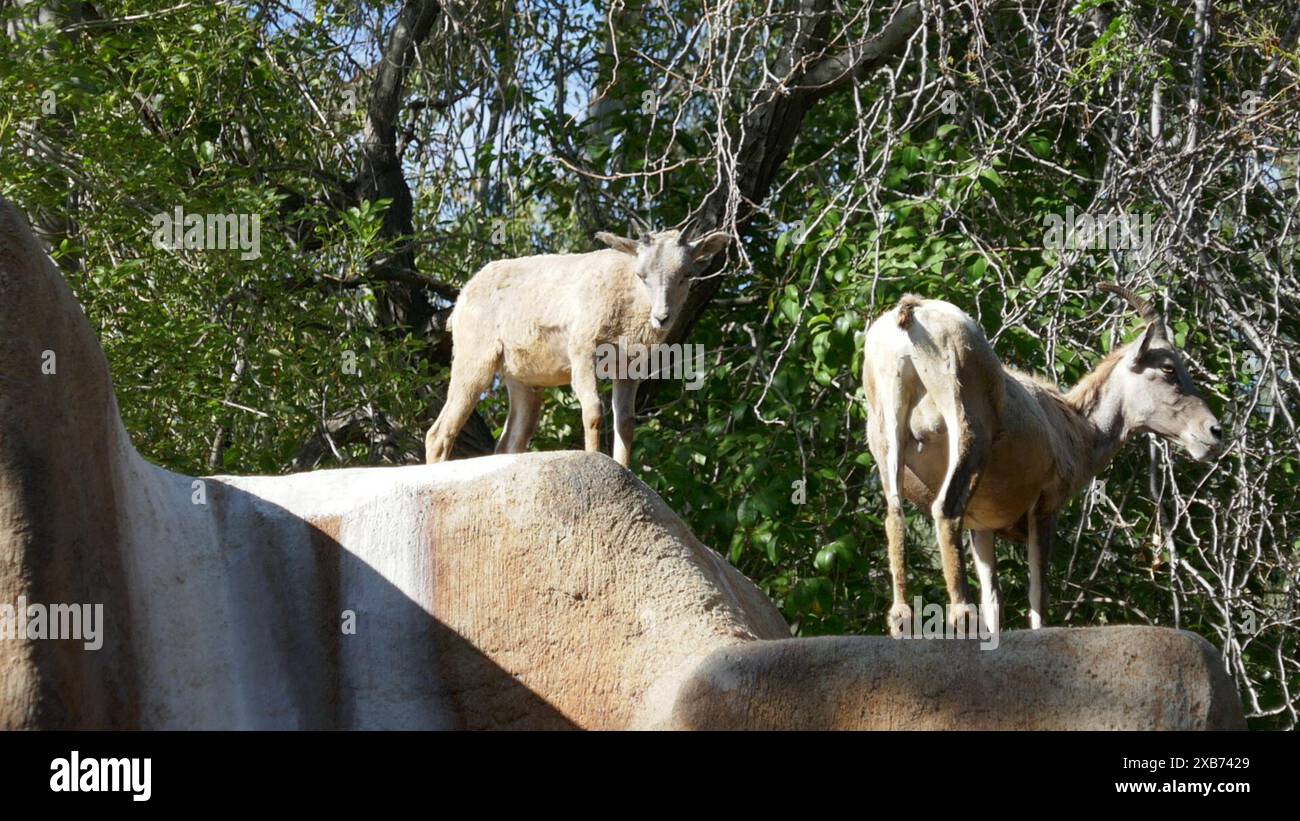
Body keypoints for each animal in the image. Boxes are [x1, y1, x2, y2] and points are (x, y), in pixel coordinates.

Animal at [424, 227, 731, 467]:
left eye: (686, 275)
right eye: (641, 275)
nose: (662, 317)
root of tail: (460, 303)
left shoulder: (628, 369)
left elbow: (626, 423)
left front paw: (625, 469)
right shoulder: (582, 350)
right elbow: (594, 411)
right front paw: (596, 459)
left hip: (522, 380)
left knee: (508, 444)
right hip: (474, 357)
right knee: (439, 433)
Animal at [862, 284, 1222, 637]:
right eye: (1168, 368)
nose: (1213, 432)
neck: (1073, 426)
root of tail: (912, 315)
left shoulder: (981, 527)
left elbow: (993, 596)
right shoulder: (1045, 507)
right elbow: (1038, 591)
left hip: (888, 437)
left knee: (894, 514)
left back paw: (901, 618)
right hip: (966, 431)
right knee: (945, 509)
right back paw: (962, 616)